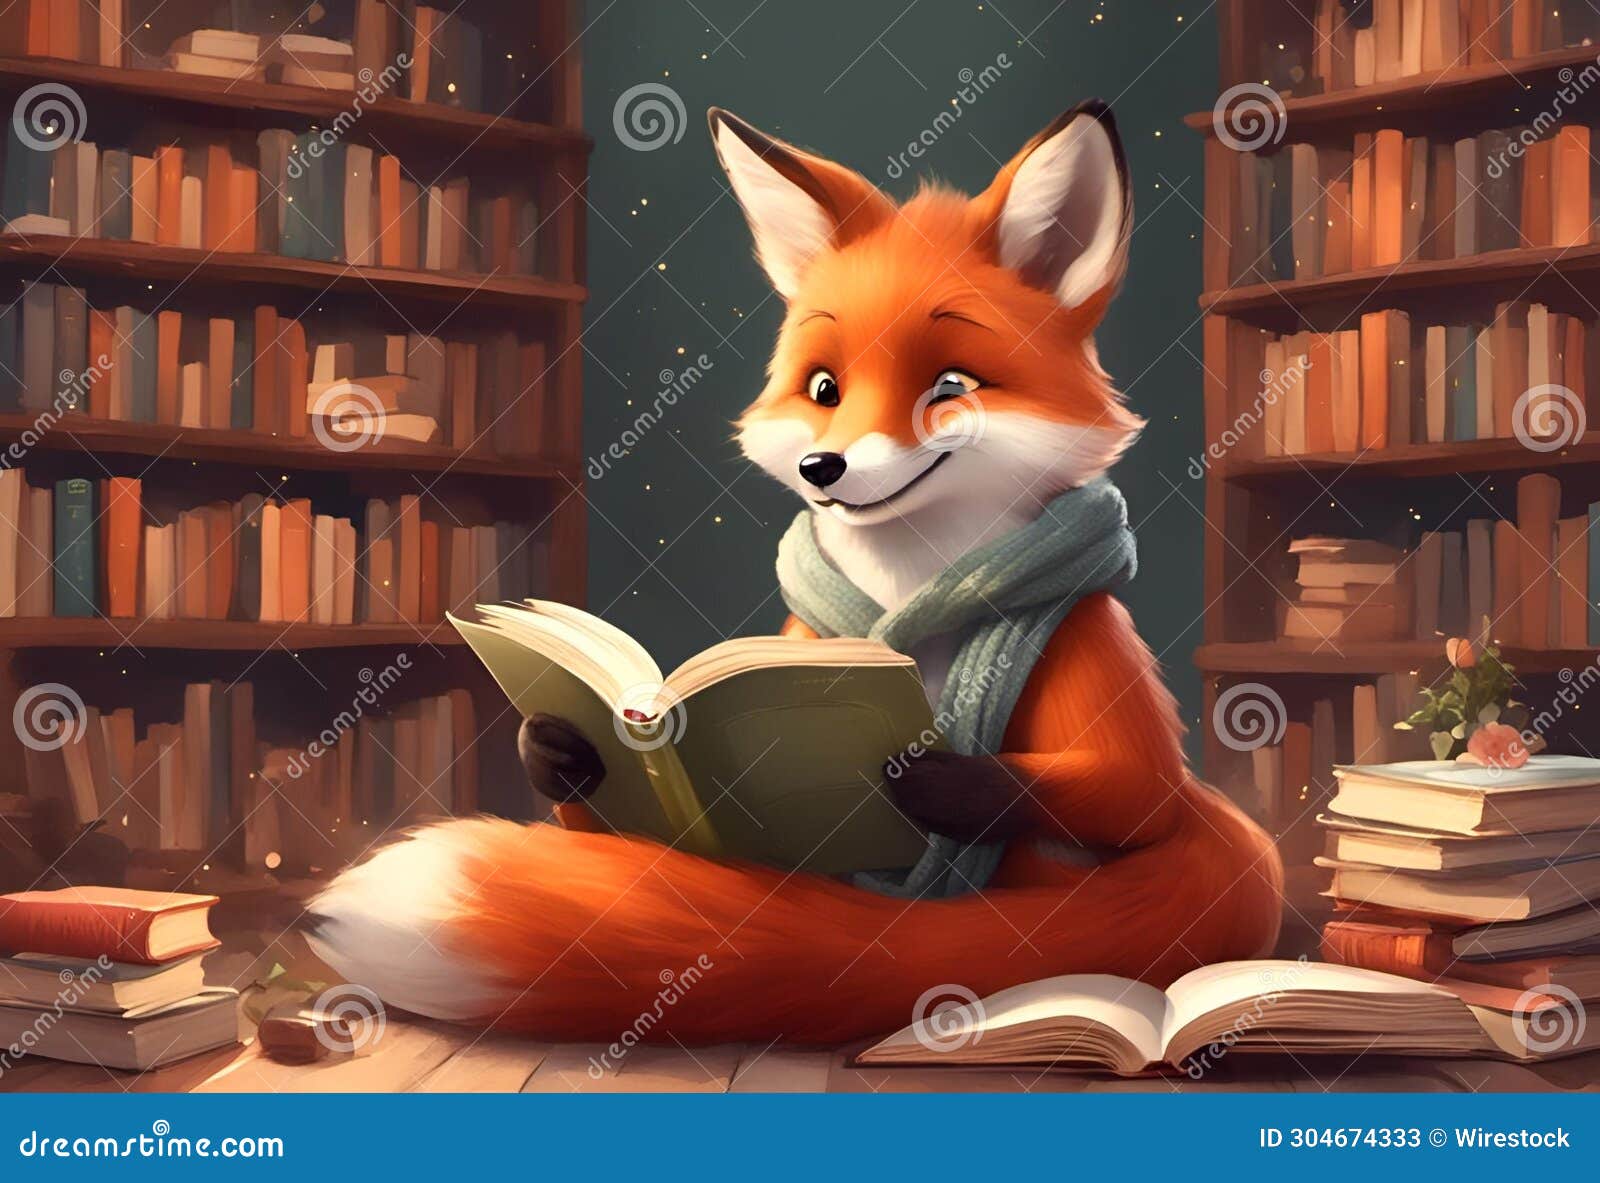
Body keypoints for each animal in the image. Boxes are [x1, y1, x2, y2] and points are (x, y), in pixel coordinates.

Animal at [306, 101, 1284, 1045]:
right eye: (824, 389)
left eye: (951, 386)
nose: (824, 468)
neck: (913, 596)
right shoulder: (802, 642)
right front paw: (559, 750)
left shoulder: (1088, 636)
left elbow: (1130, 787)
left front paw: (924, 776)